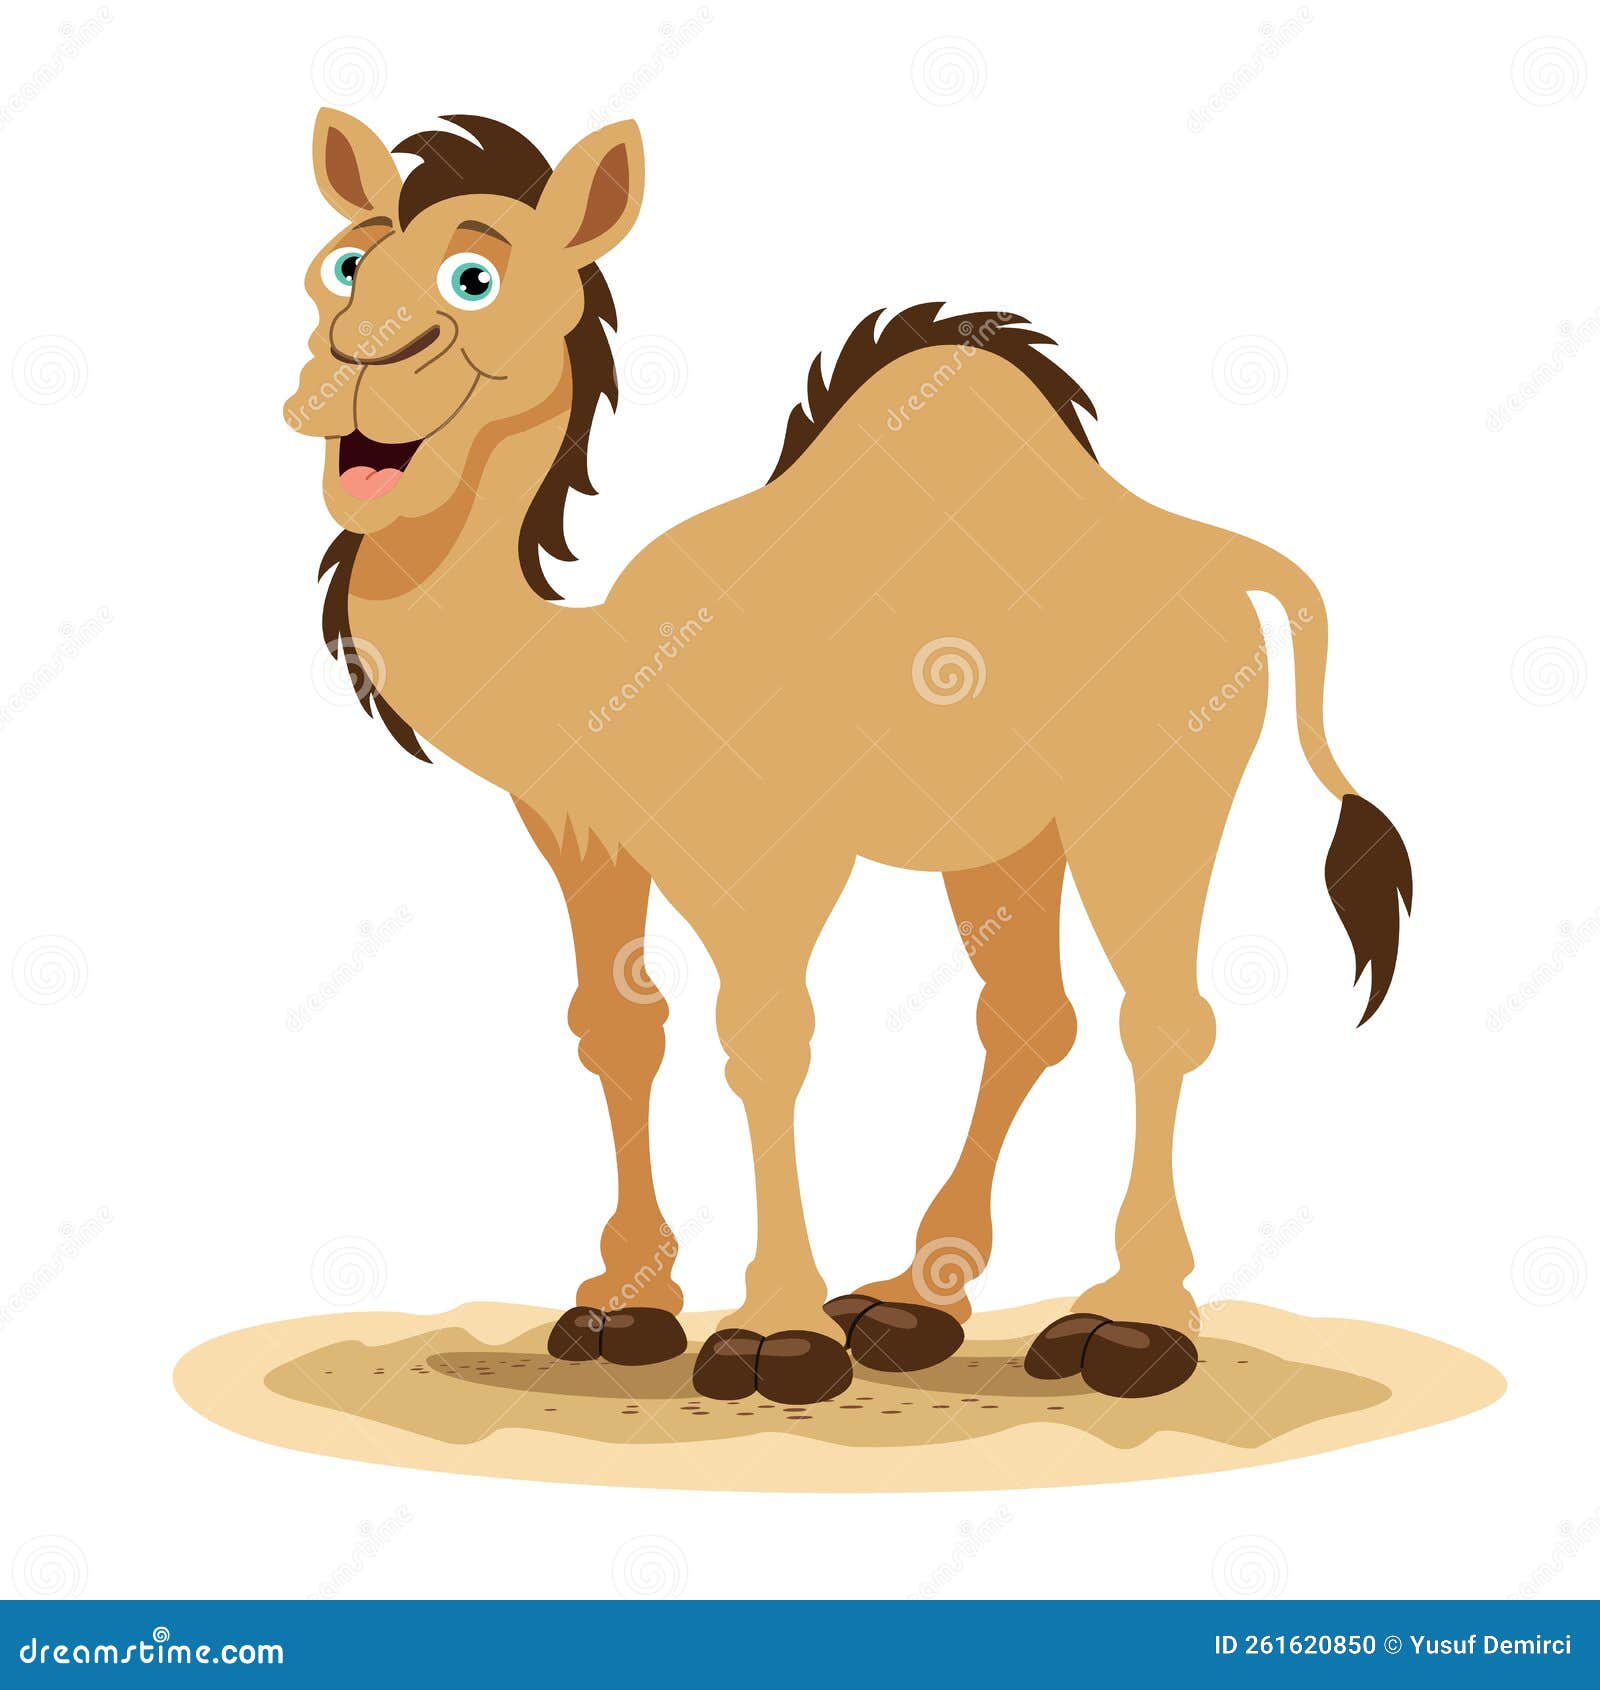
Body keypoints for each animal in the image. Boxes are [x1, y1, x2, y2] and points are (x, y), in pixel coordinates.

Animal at [286, 110, 1412, 1406]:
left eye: (476, 275)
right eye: (343, 264)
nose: (348, 370)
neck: (602, 669)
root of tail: (1231, 563)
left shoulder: (770, 853)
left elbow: (764, 1041)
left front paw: (771, 1338)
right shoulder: (587, 838)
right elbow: (617, 1026)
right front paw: (621, 1308)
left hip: (1154, 794)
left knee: (1162, 1015)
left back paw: (1125, 1328)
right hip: (1006, 836)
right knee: (1030, 1015)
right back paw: (908, 1304)